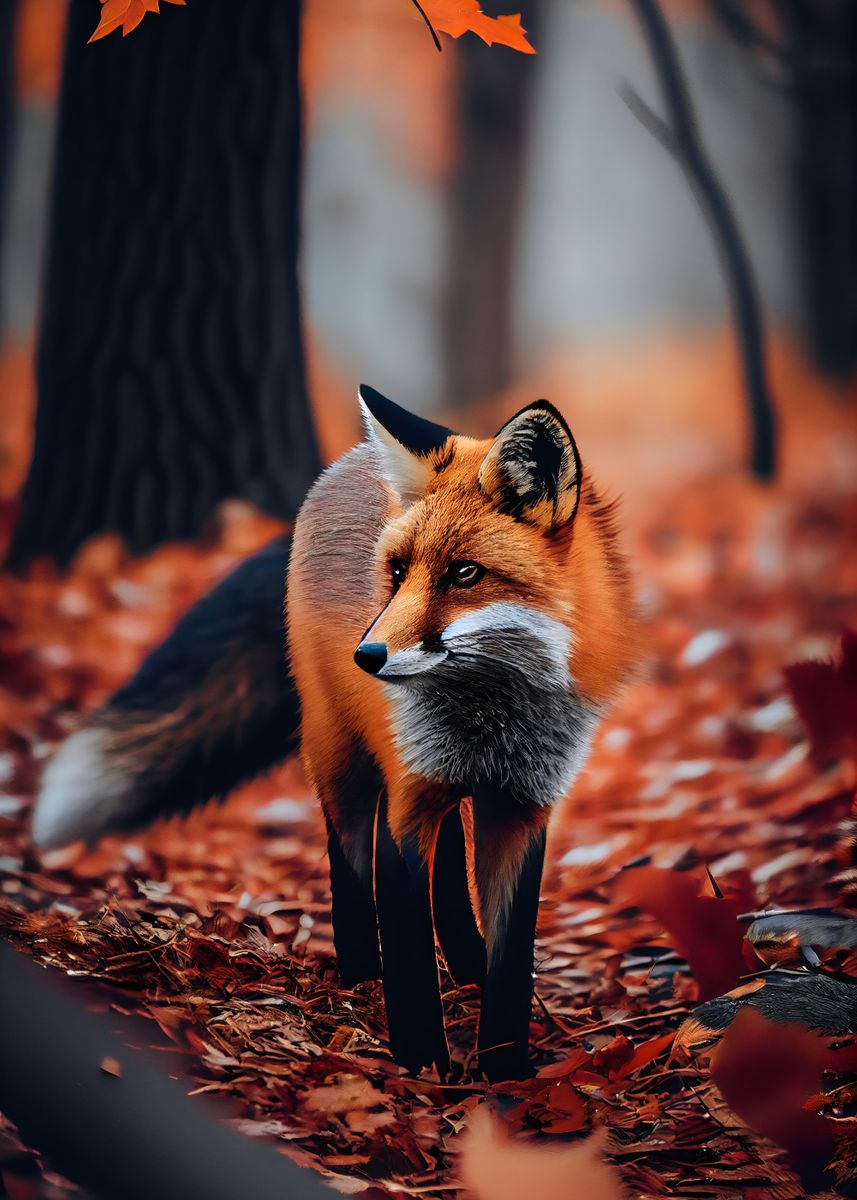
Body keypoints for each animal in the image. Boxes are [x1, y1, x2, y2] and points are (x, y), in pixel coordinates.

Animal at [32, 387, 637, 1081]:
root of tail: (341, 465)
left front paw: (504, 1072)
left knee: (446, 856)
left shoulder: (522, 807)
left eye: (465, 574)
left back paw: (465, 962)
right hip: (343, 758)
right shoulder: (409, 805)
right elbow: (406, 941)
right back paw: (360, 975)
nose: (367, 656)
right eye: (397, 573)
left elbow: (512, 959)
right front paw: (422, 1063)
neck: (492, 715)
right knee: (349, 851)